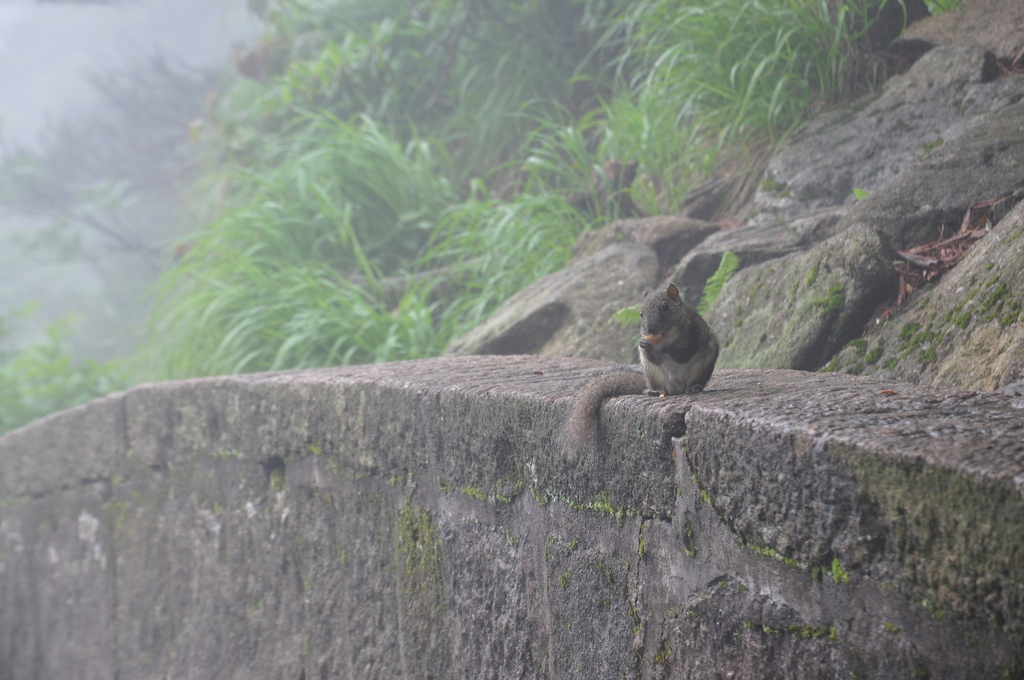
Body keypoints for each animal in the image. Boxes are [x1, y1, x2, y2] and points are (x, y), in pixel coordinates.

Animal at [562, 282, 719, 456]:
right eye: (641, 314)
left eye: (665, 306)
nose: (649, 330)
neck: (666, 335)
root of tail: (675, 387)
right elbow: (654, 357)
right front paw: (646, 345)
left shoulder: (691, 332)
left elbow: (682, 353)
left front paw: (661, 347)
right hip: (652, 373)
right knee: (660, 387)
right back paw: (653, 391)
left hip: (704, 362)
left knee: (695, 380)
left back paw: (694, 387)